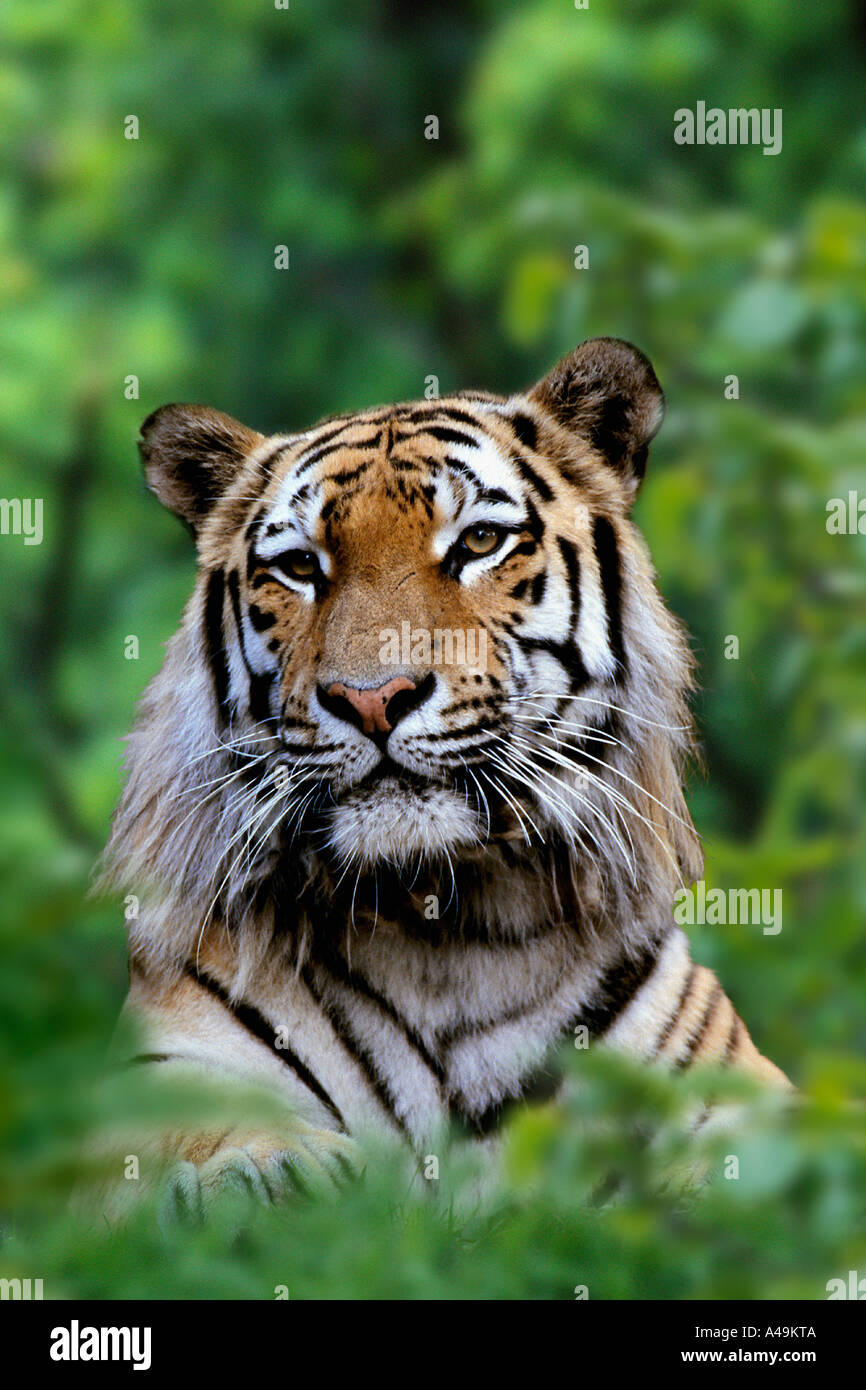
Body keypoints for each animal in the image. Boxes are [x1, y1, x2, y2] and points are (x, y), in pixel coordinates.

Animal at [98, 336, 790, 1208]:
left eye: (477, 543)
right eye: (300, 567)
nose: (371, 698)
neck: (445, 929)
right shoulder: (156, 1084)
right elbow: (198, 1141)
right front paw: (278, 1175)